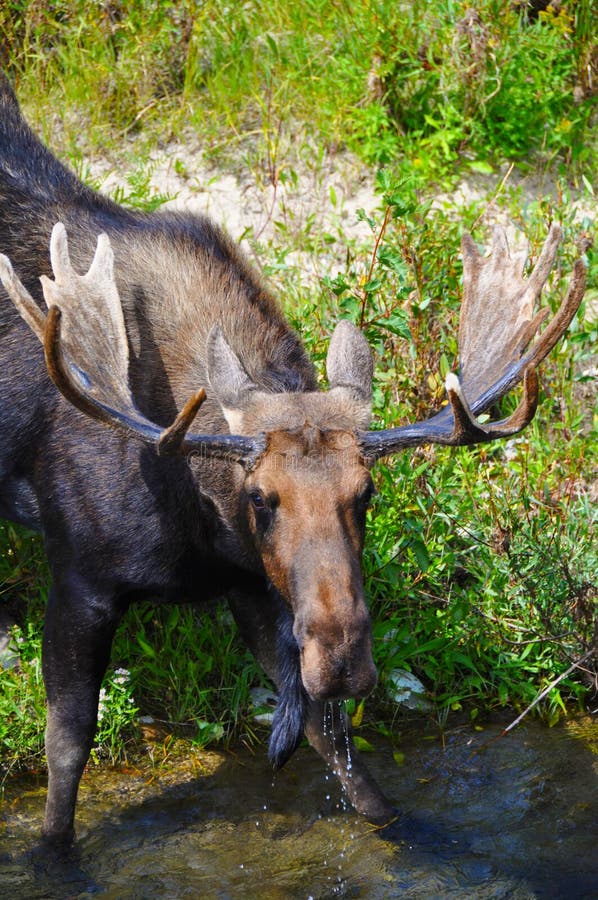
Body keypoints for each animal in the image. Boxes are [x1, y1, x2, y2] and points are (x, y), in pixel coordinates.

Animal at [0, 71, 586, 845]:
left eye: (366, 493)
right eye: (260, 498)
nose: (343, 661)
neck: (196, 516)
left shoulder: (253, 585)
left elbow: (334, 749)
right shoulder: (80, 576)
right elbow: (65, 756)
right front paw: (53, 856)